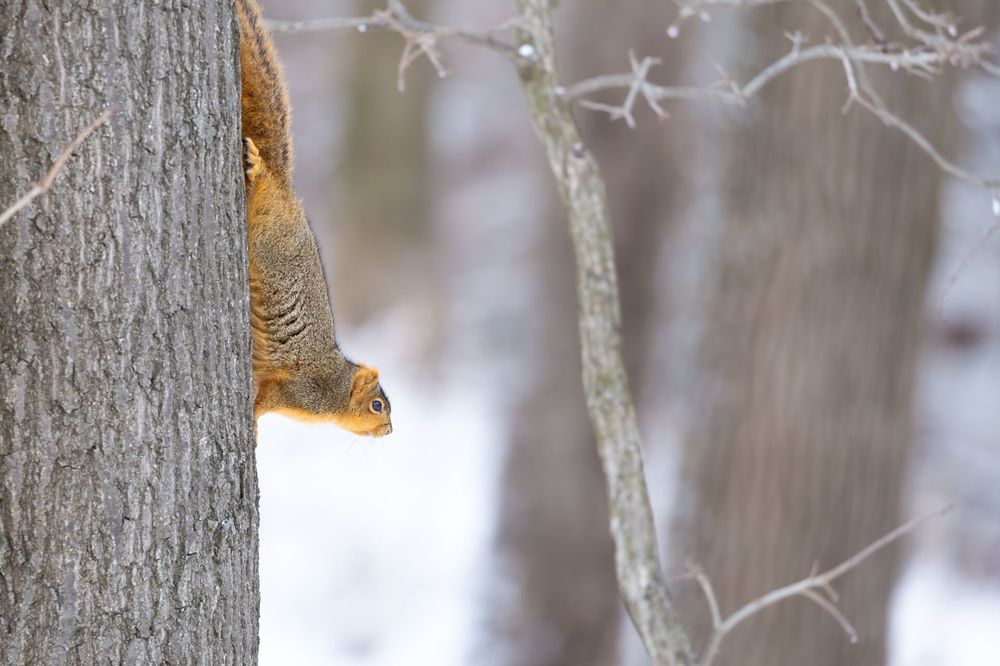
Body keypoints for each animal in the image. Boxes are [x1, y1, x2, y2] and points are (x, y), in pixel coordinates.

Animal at [237, 0, 392, 437]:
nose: (390, 431)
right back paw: (257, 166)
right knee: (263, 182)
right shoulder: (302, 392)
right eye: (377, 406)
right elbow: (265, 400)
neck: (337, 387)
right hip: (268, 238)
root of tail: (289, 196)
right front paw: (254, 426)